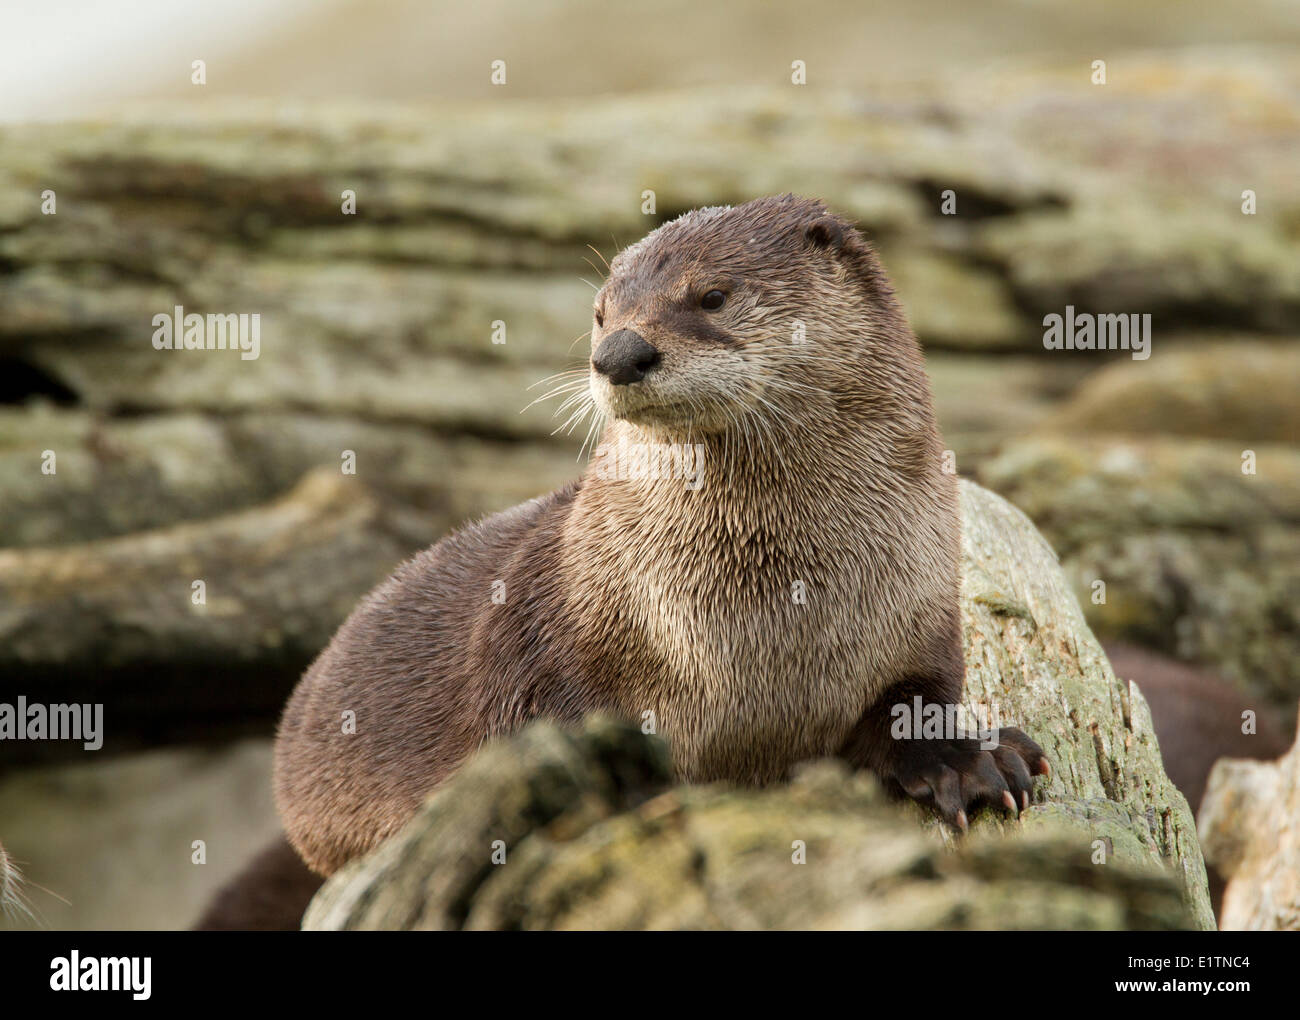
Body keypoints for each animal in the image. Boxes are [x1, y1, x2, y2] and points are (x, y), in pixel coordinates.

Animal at [274, 194, 1048, 878]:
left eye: (712, 296)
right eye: (599, 312)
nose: (620, 351)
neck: (769, 629)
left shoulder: (923, 609)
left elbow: (919, 702)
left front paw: (974, 760)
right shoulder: (547, 638)